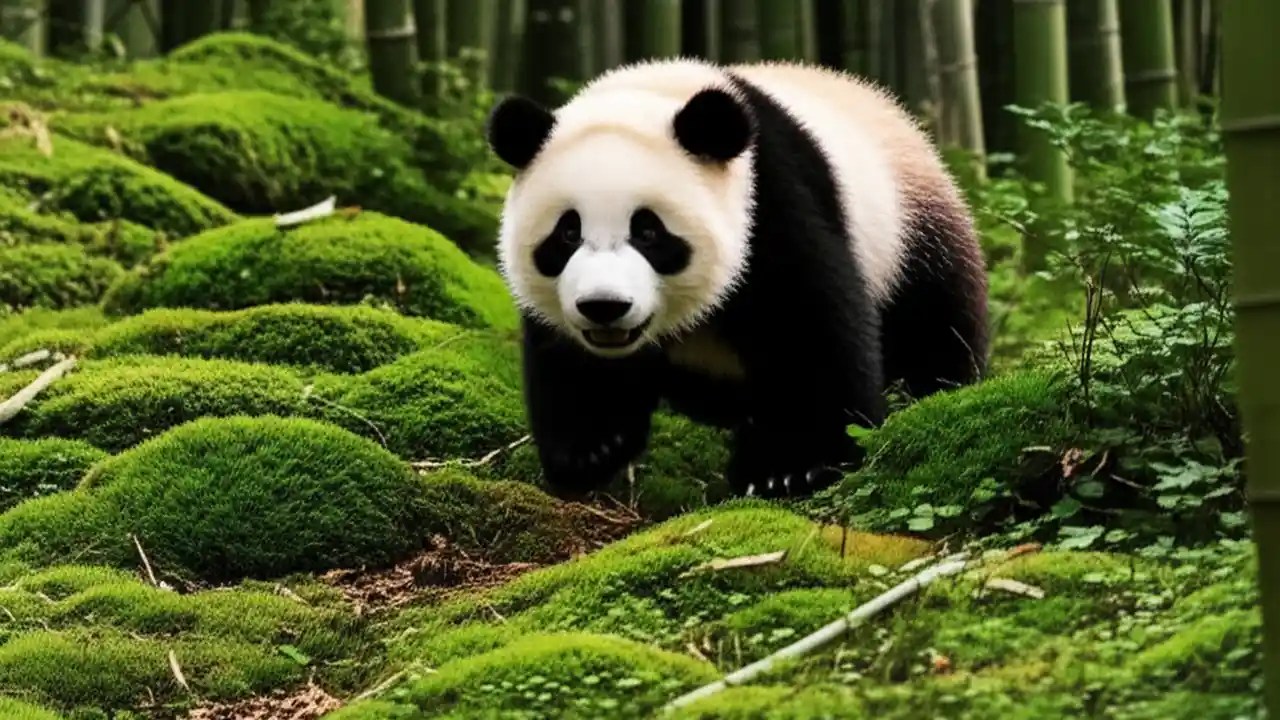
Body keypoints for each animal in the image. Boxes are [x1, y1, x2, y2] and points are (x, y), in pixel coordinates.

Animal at [484, 58, 989, 499]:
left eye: (648, 231)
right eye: (567, 232)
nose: (604, 306)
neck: (650, 94)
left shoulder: (772, 204)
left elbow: (811, 328)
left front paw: (792, 466)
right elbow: (569, 362)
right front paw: (593, 448)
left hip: (910, 235)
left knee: (936, 327)